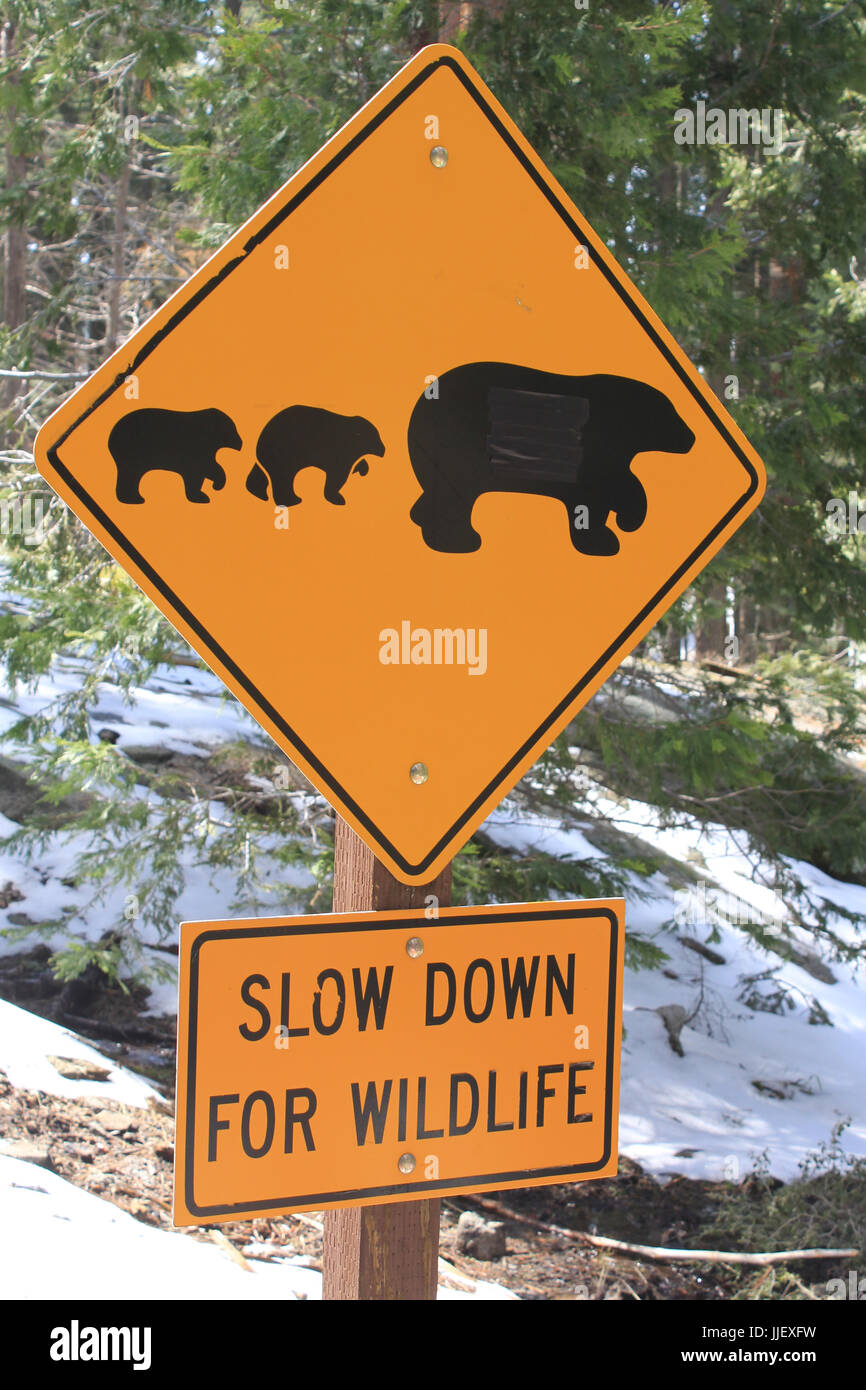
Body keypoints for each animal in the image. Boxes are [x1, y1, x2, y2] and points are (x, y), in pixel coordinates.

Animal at [108, 407, 242, 505]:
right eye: (232, 429)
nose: (241, 443)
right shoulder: (196, 450)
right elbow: (199, 472)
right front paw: (206, 493)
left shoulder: (204, 451)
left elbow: (208, 468)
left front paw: (211, 487)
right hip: (132, 452)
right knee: (130, 473)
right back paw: (133, 499)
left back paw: (134, 498)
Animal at [246, 406, 385, 509]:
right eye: (376, 438)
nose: (384, 450)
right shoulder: (338, 452)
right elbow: (337, 476)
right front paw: (338, 498)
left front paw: (362, 468)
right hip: (284, 454)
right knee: (283, 478)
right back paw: (292, 500)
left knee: (262, 473)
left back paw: (260, 493)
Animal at [407, 363, 696, 556]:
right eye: (670, 414)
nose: (691, 438)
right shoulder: (596, 452)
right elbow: (599, 493)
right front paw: (611, 534)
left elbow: (616, 484)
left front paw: (619, 524)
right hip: (456, 452)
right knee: (454, 495)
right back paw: (461, 541)